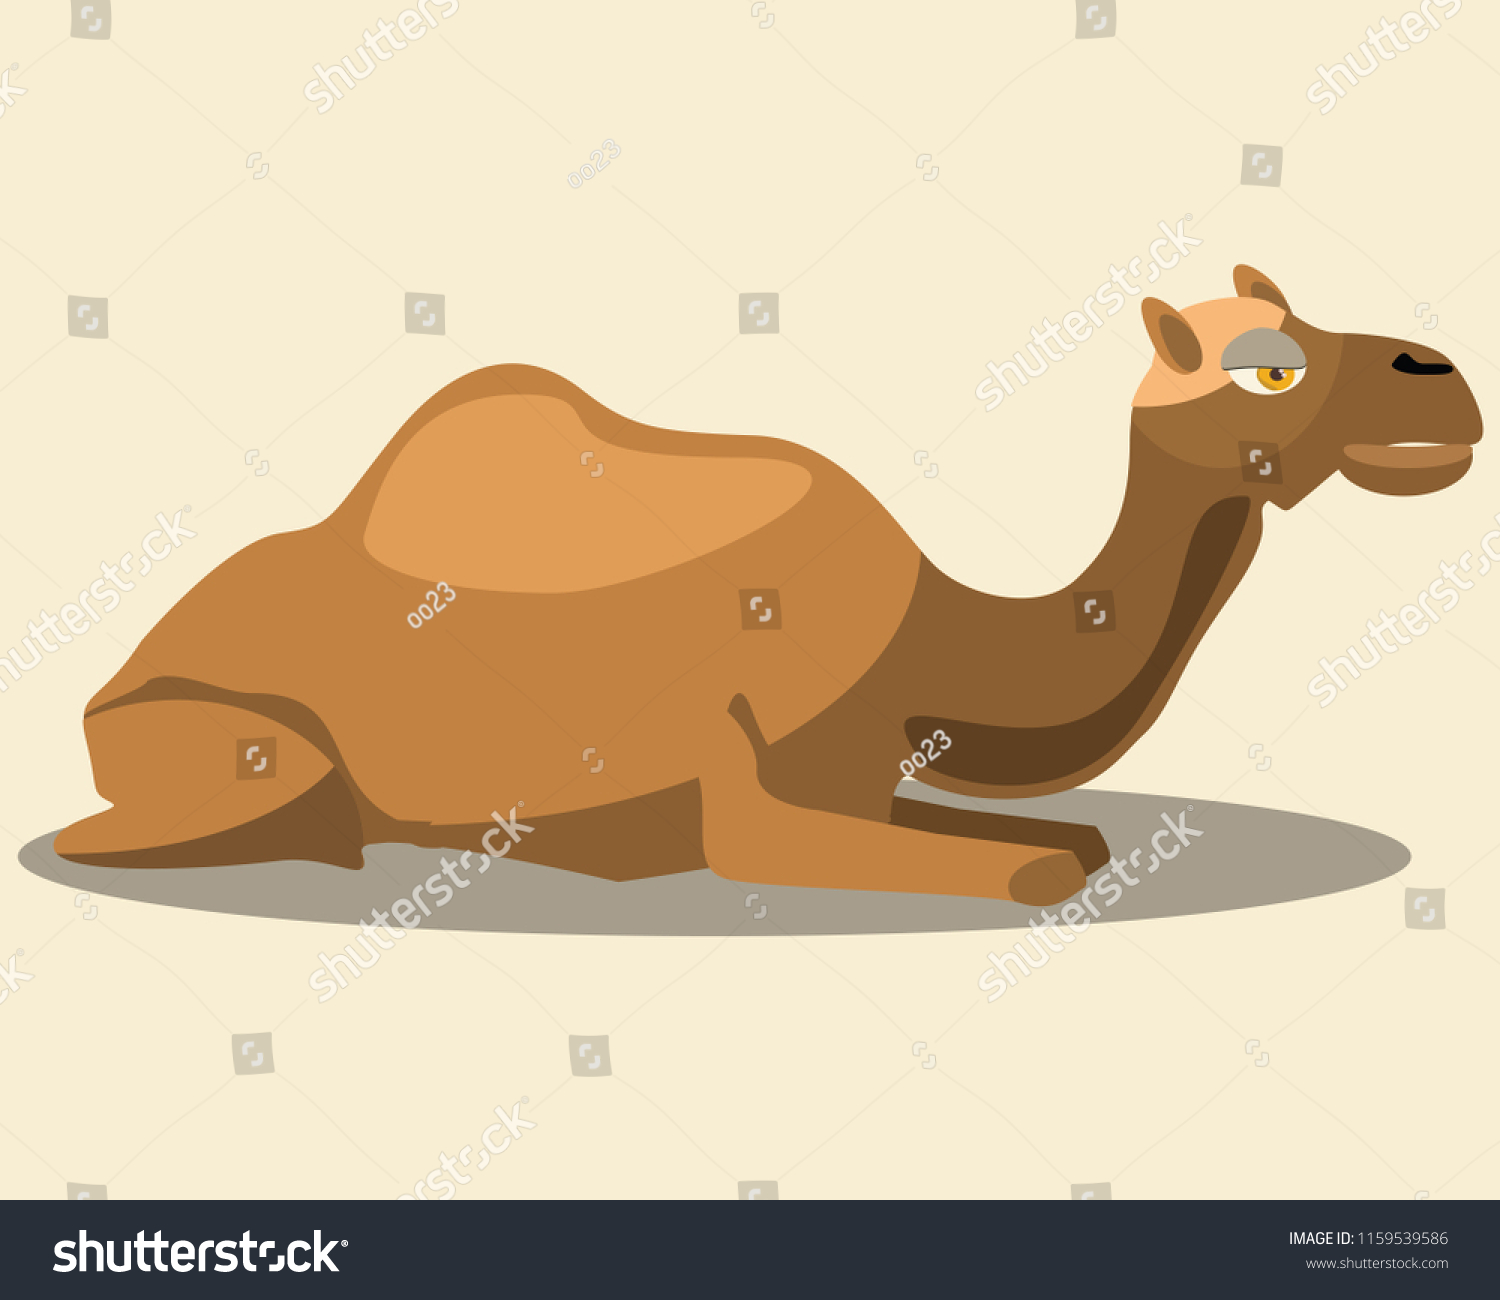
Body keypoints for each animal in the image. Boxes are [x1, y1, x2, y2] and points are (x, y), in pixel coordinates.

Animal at [52, 265, 1481, 905]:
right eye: (1269, 367)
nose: (1439, 373)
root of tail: (104, 684)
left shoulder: (864, 761)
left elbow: (1063, 840)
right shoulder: (747, 779)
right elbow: (1031, 868)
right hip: (223, 740)